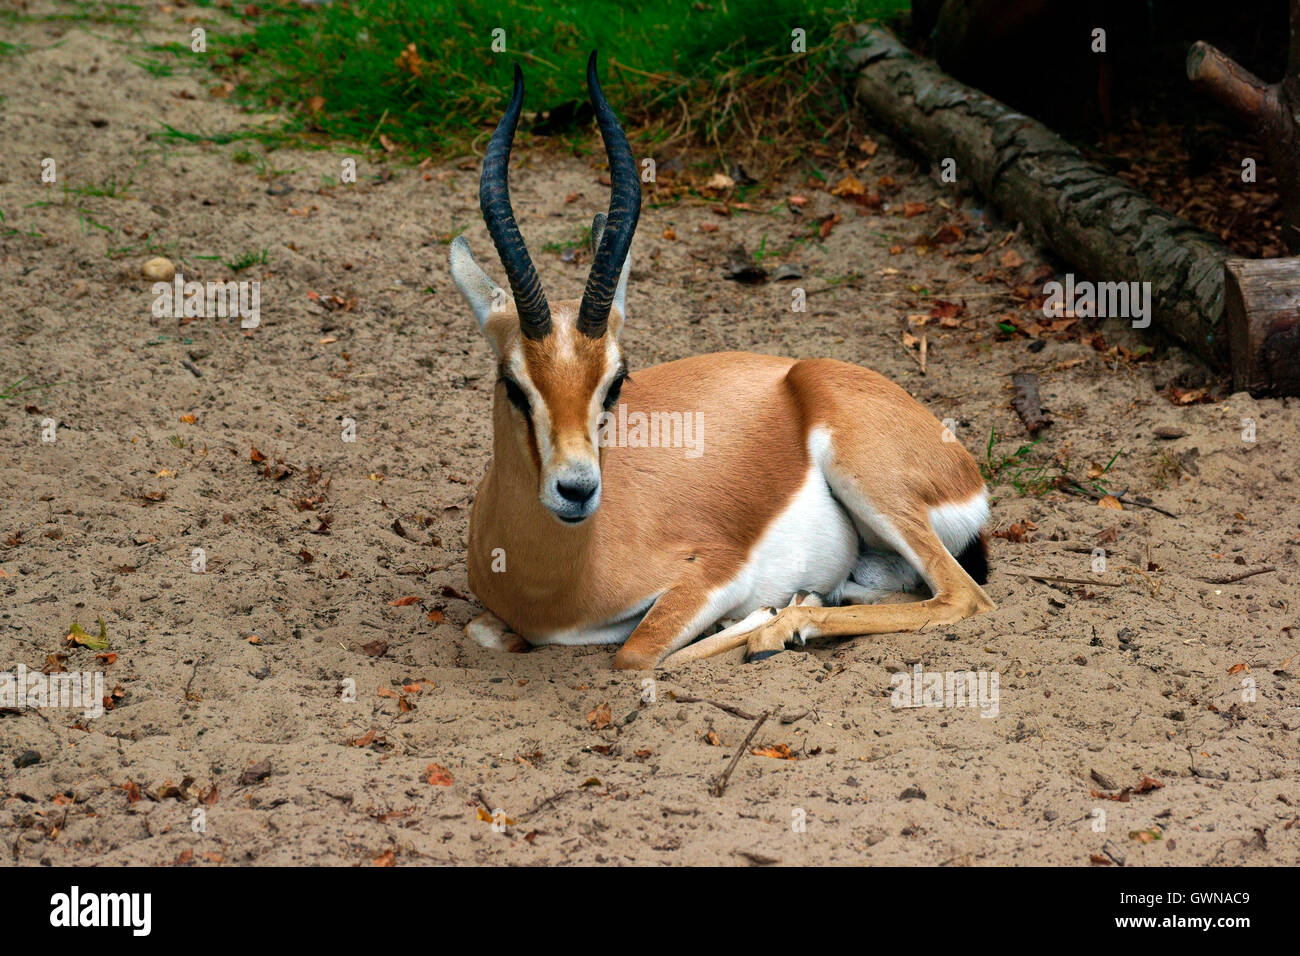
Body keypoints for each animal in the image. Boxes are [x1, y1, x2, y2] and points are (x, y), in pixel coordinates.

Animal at [449, 53, 995, 670]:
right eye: (514, 385)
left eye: (616, 382)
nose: (577, 489)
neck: (554, 585)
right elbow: (486, 631)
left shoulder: (714, 573)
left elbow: (638, 653)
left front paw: (768, 617)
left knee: (961, 594)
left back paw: (787, 625)